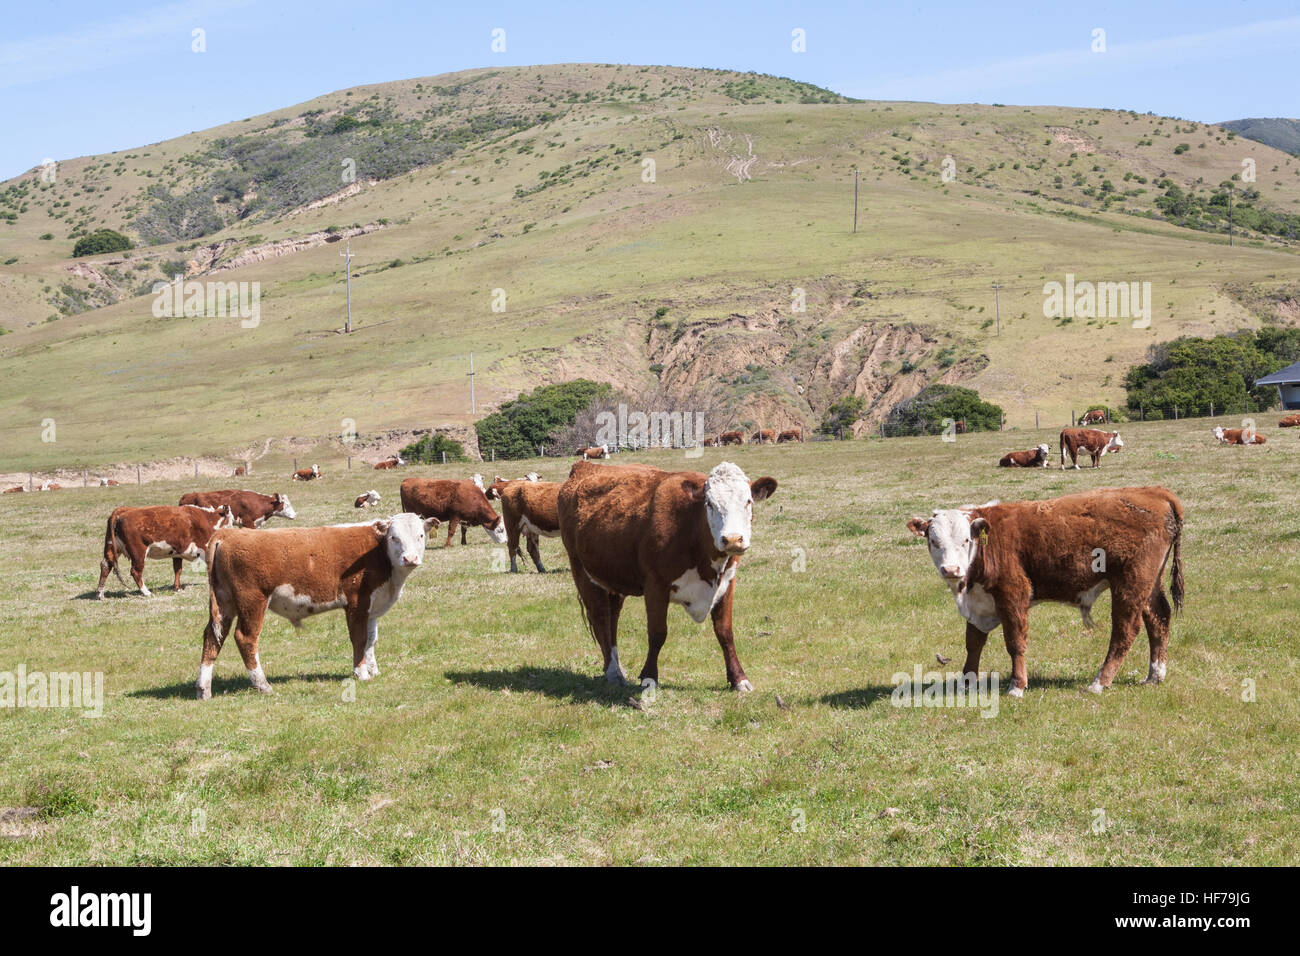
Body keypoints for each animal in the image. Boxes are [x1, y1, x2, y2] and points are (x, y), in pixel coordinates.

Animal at [97, 504, 235, 599]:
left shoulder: (178, 552)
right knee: (135, 571)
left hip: (112, 547)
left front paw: (177, 587)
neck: (207, 519)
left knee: (106, 565)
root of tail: (122, 510)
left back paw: (100, 593)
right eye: (232, 520)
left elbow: (177, 569)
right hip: (138, 552)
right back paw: (146, 592)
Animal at [195, 513, 438, 699]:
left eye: (421, 535)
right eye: (394, 537)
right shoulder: (357, 603)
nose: (410, 558)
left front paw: (373, 670)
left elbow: (371, 639)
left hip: (224, 602)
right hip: (252, 601)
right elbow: (359, 638)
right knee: (245, 638)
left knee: (213, 636)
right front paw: (361, 673)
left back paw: (203, 689)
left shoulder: (373, 605)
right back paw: (263, 685)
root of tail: (228, 534)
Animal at [558, 460, 777, 691]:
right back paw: (613, 671)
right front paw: (649, 677)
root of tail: (585, 465)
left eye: (748, 501)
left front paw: (739, 679)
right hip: (582, 571)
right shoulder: (655, 585)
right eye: (709, 503)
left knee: (612, 619)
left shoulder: (727, 583)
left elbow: (725, 632)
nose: (733, 539)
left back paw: (617, 665)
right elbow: (657, 633)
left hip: (613, 579)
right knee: (600, 618)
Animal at [906, 486, 1184, 696]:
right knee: (1159, 618)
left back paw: (1099, 682)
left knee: (1125, 630)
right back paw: (1154, 675)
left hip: (1130, 584)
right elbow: (973, 643)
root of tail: (1154, 491)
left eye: (966, 540)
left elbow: (1015, 642)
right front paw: (966, 683)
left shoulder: (1013, 594)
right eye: (934, 541)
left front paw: (1017, 686)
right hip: (1149, 584)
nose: (951, 569)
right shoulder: (979, 602)